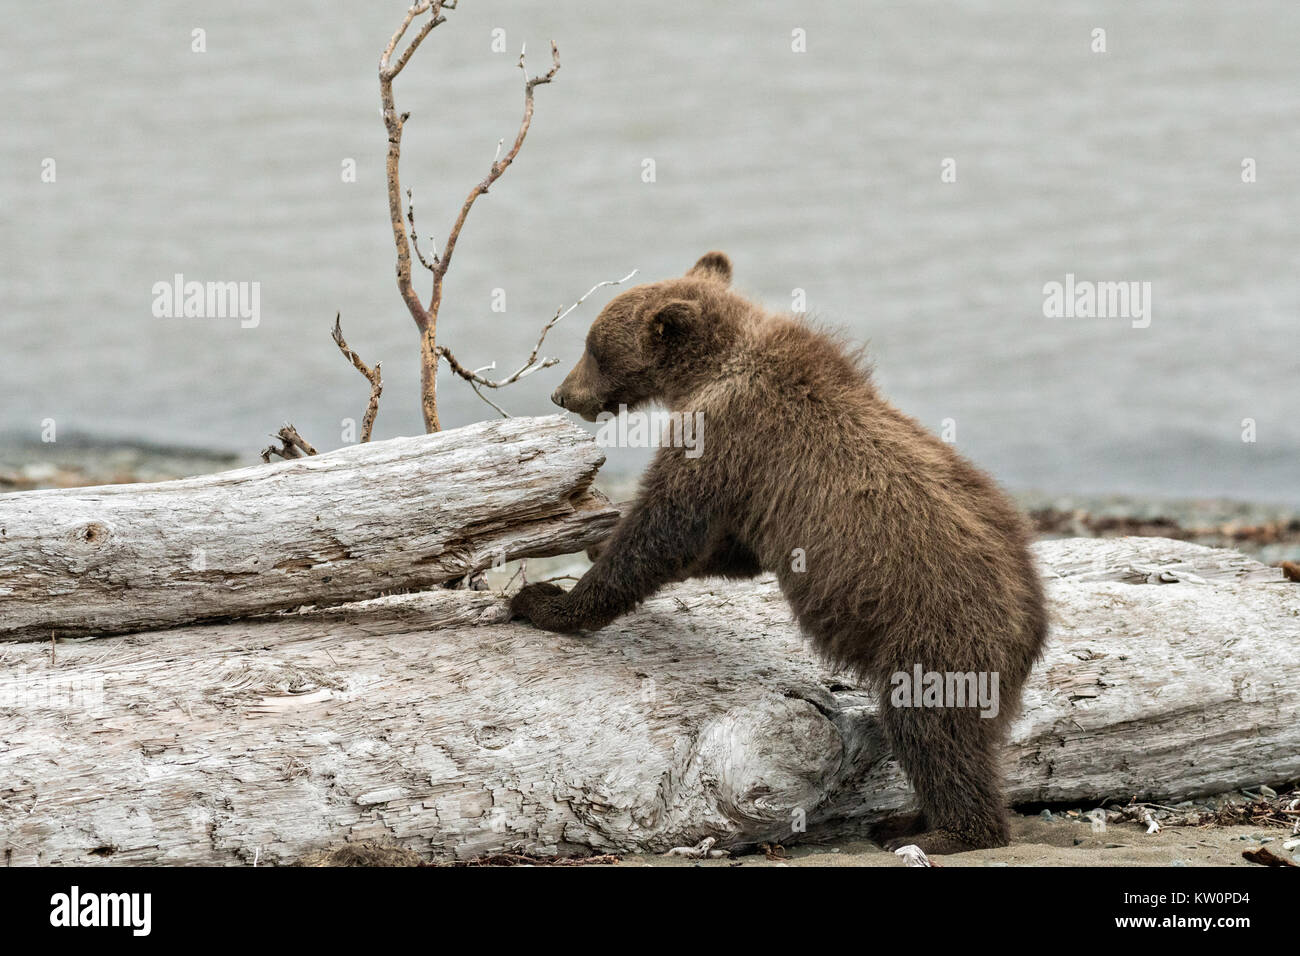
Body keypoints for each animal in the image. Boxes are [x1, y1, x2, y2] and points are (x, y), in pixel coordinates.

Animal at [511, 252, 1048, 855]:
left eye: (593, 348)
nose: (562, 395)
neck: (707, 372)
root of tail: (1033, 619)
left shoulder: (725, 436)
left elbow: (664, 534)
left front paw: (546, 600)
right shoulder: (754, 491)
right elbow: (728, 549)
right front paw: (594, 541)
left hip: (935, 632)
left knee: (931, 727)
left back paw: (947, 831)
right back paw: (908, 820)